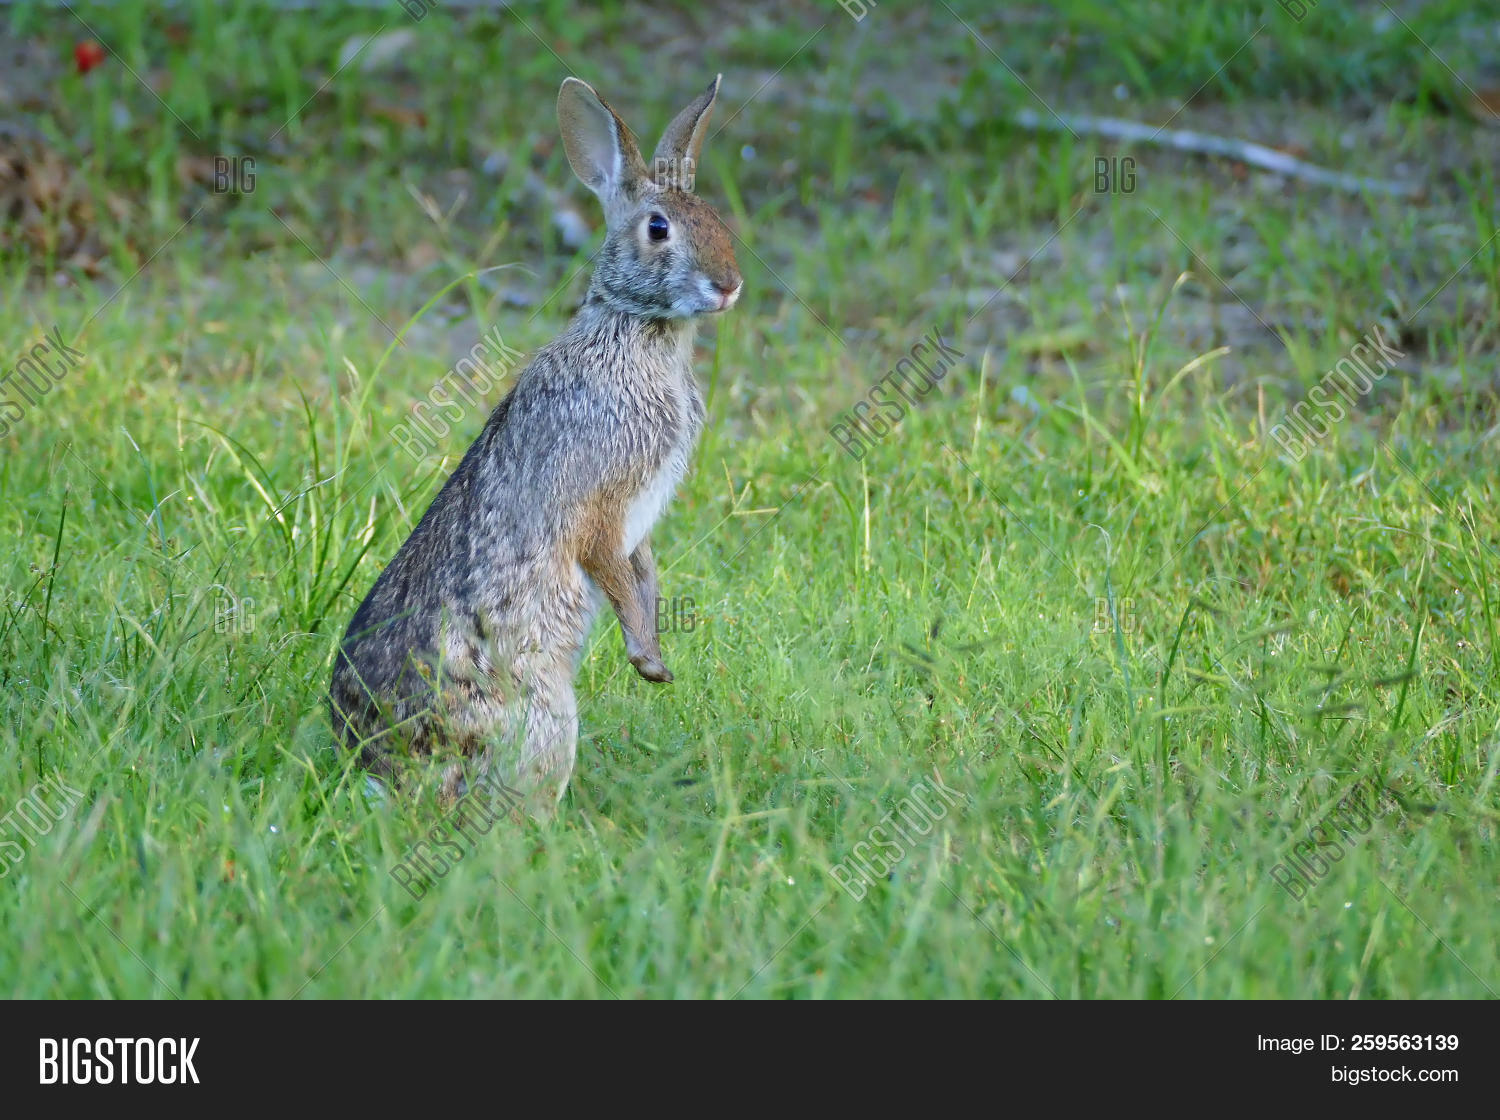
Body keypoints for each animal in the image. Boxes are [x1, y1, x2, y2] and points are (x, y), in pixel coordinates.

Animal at [329, 75, 742, 815]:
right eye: (658, 228)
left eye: (714, 215)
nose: (728, 285)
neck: (636, 331)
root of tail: (380, 766)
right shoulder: (599, 504)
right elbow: (608, 564)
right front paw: (648, 661)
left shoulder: (640, 527)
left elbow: (644, 574)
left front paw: (653, 658)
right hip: (542, 710)